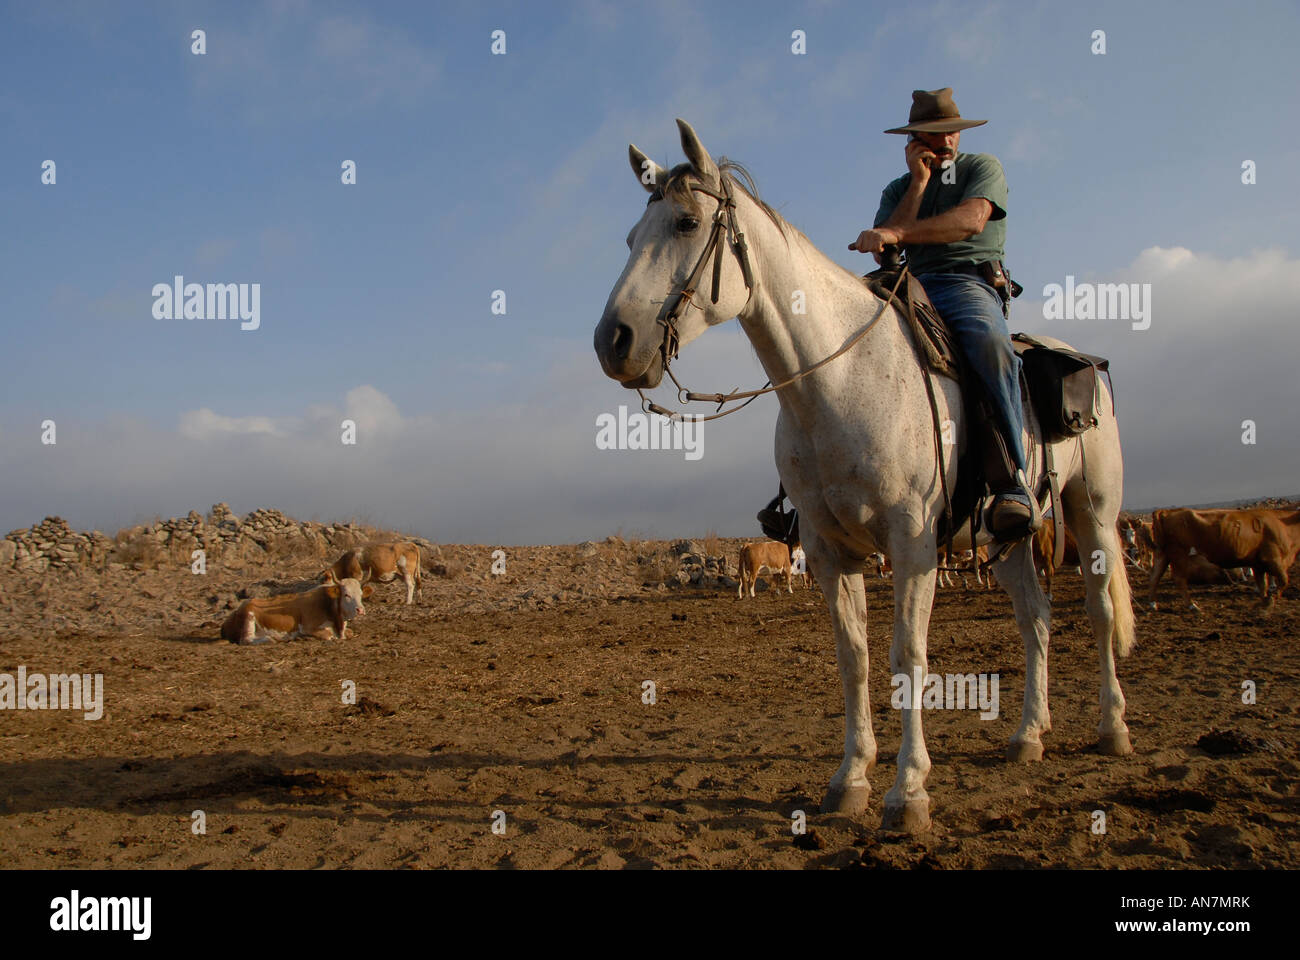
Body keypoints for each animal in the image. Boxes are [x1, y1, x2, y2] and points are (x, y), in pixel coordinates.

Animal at [222, 574, 373, 644]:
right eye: (346, 594)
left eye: (361, 594)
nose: (360, 610)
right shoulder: (308, 627)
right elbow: (328, 635)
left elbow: (350, 632)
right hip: (249, 618)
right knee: (246, 640)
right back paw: (272, 638)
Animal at [1148, 507, 1300, 610]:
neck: (1283, 525)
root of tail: (1167, 512)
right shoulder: (1273, 559)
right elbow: (1283, 580)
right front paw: (1271, 600)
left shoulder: (1258, 564)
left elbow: (1262, 585)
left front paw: (1264, 601)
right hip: (1180, 554)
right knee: (1179, 579)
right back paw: (1192, 605)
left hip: (1163, 554)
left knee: (1155, 577)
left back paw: (1153, 603)